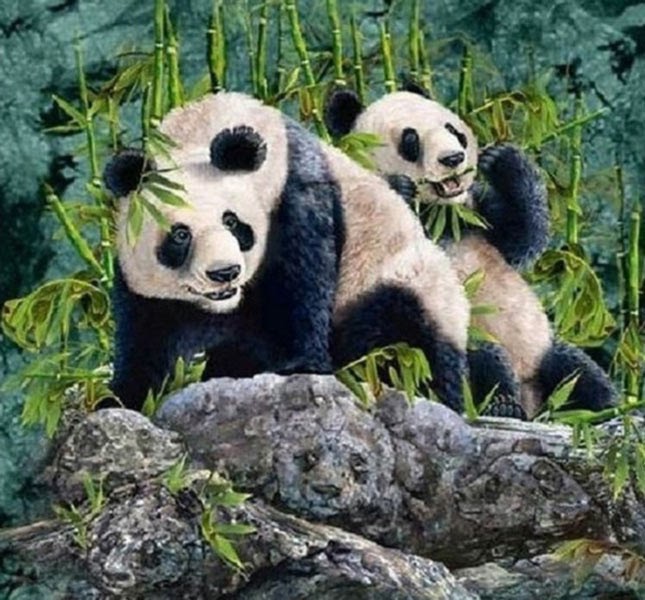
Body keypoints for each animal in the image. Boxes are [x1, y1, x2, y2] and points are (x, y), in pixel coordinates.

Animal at [104, 92, 470, 413]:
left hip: (401, 284)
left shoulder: (294, 195)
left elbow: (302, 286)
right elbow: (147, 337)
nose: (224, 273)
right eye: (180, 235)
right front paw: (124, 397)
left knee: (403, 342)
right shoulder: (145, 288)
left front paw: (293, 364)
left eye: (232, 222)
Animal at [324, 87, 616, 419]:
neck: (437, 213)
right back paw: (502, 404)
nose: (453, 158)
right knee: (480, 360)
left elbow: (522, 234)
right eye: (411, 140)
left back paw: (602, 407)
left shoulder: (474, 216)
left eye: (453, 130)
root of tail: (534, 401)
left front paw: (501, 159)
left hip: (542, 351)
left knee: (577, 371)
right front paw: (401, 187)